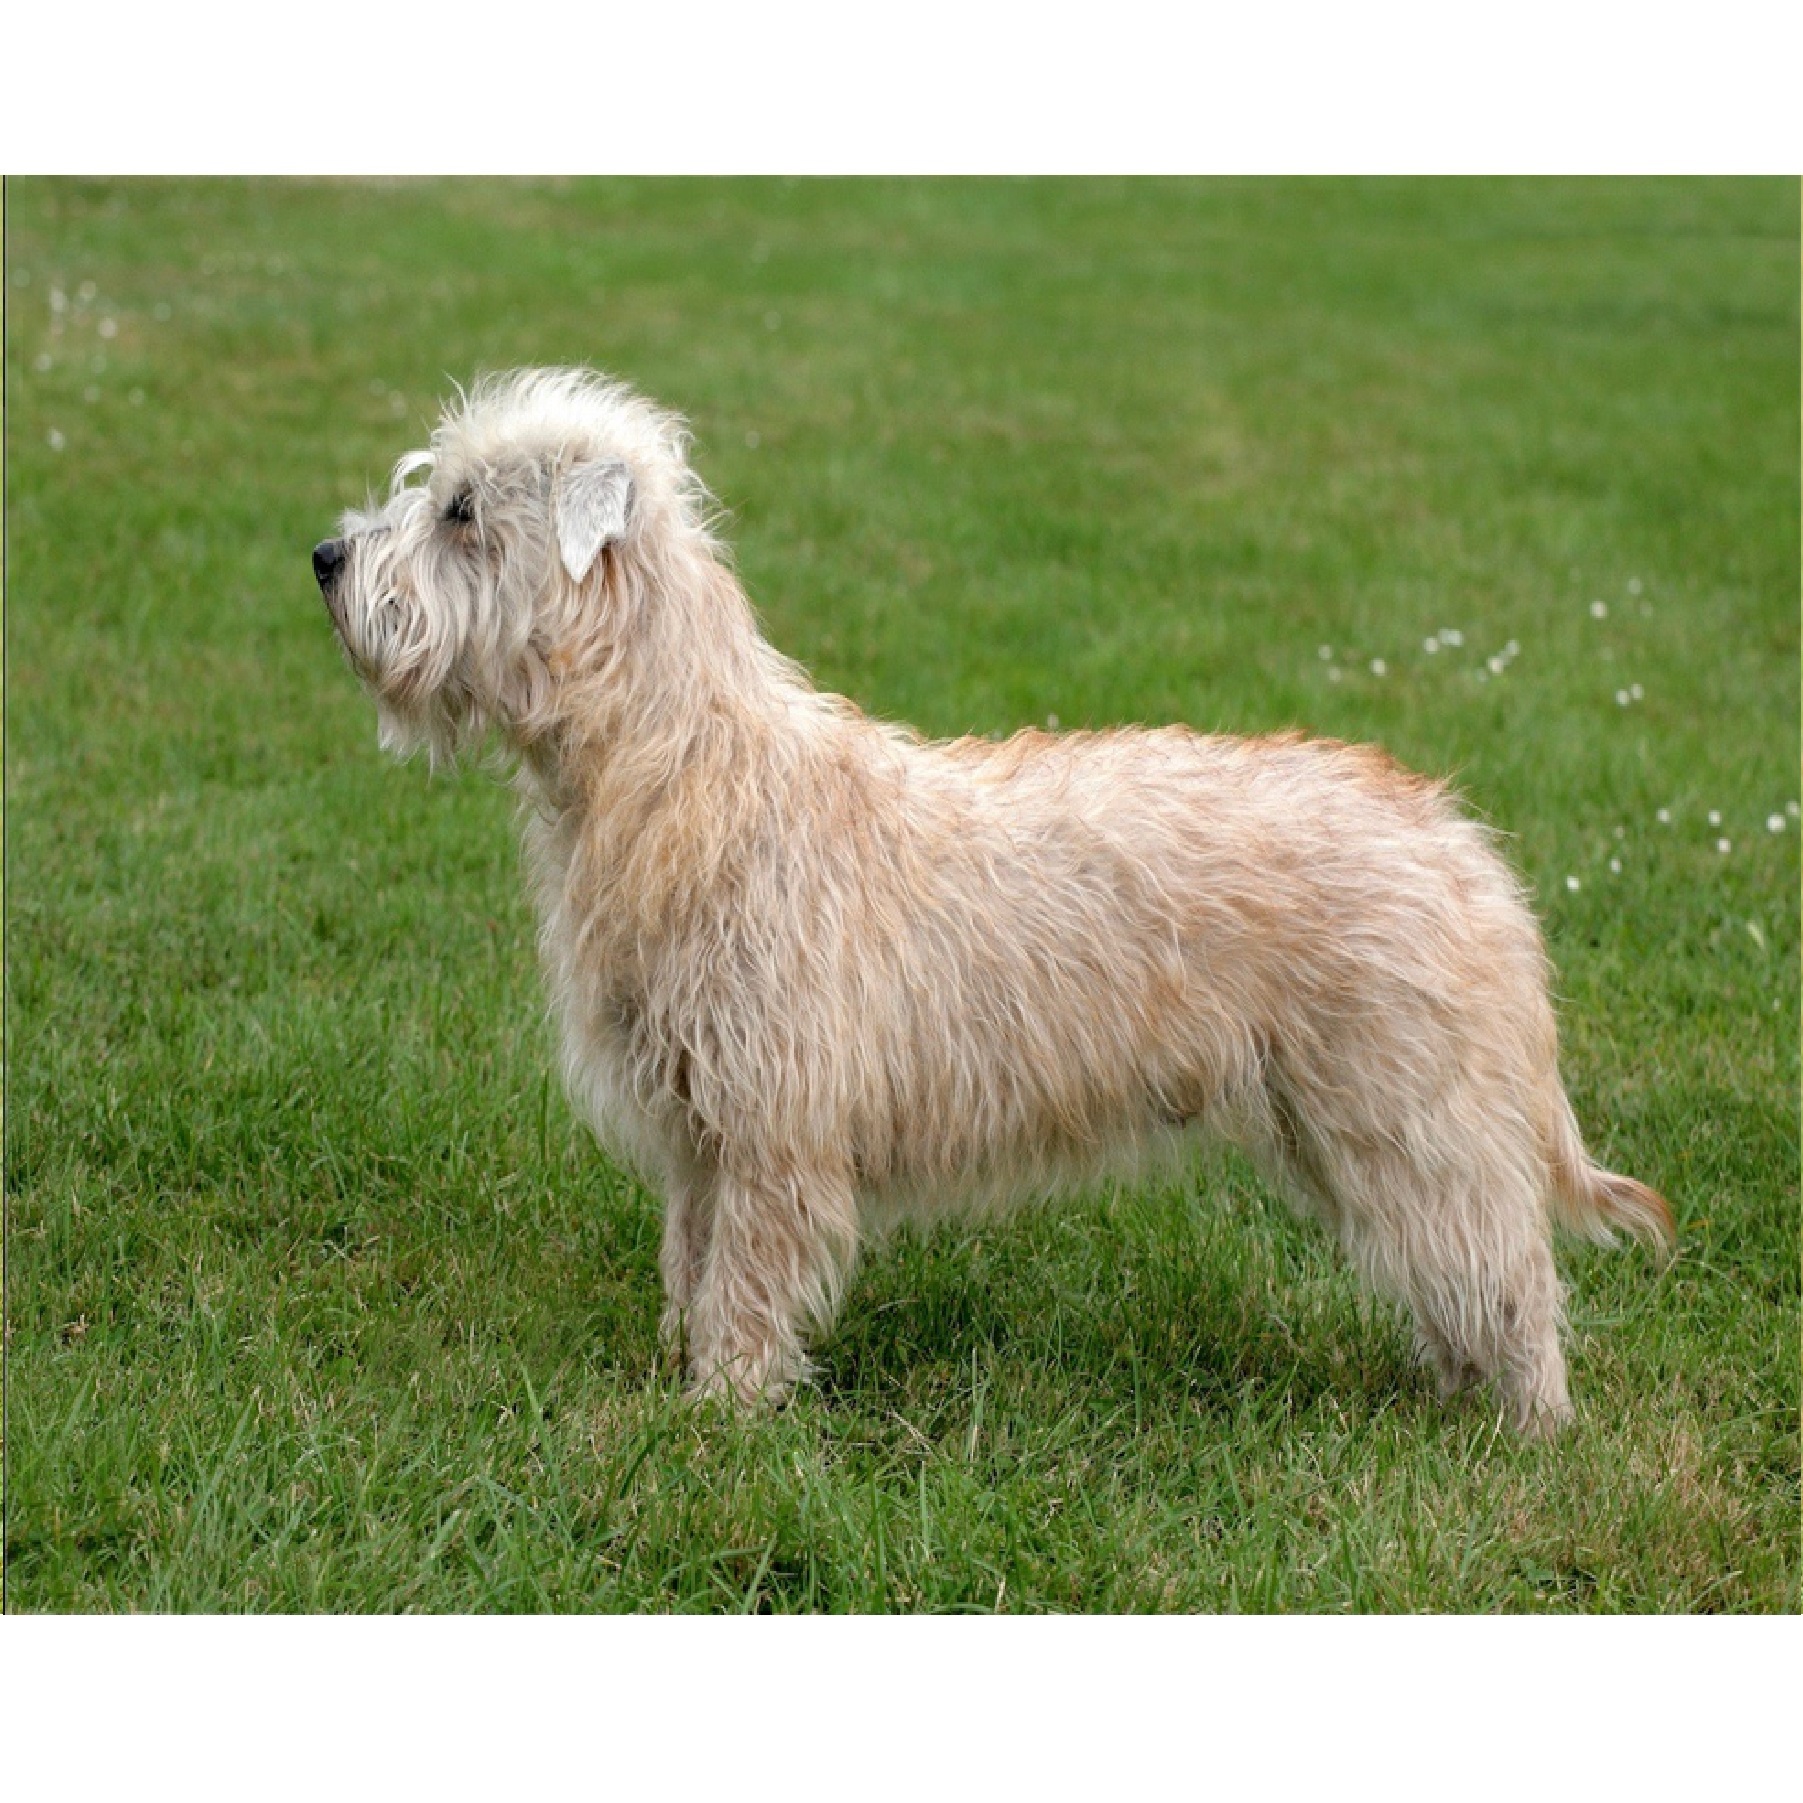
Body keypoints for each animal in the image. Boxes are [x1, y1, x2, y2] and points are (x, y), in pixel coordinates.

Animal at [313, 367, 1673, 1434]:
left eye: (461, 511)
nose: (325, 558)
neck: (681, 770)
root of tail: (1461, 843)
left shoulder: (774, 1129)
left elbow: (748, 1276)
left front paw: (727, 1411)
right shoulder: (701, 1126)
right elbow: (692, 1260)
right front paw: (683, 1373)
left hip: (1411, 1121)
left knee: (1506, 1273)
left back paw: (1527, 1430)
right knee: (1464, 1272)